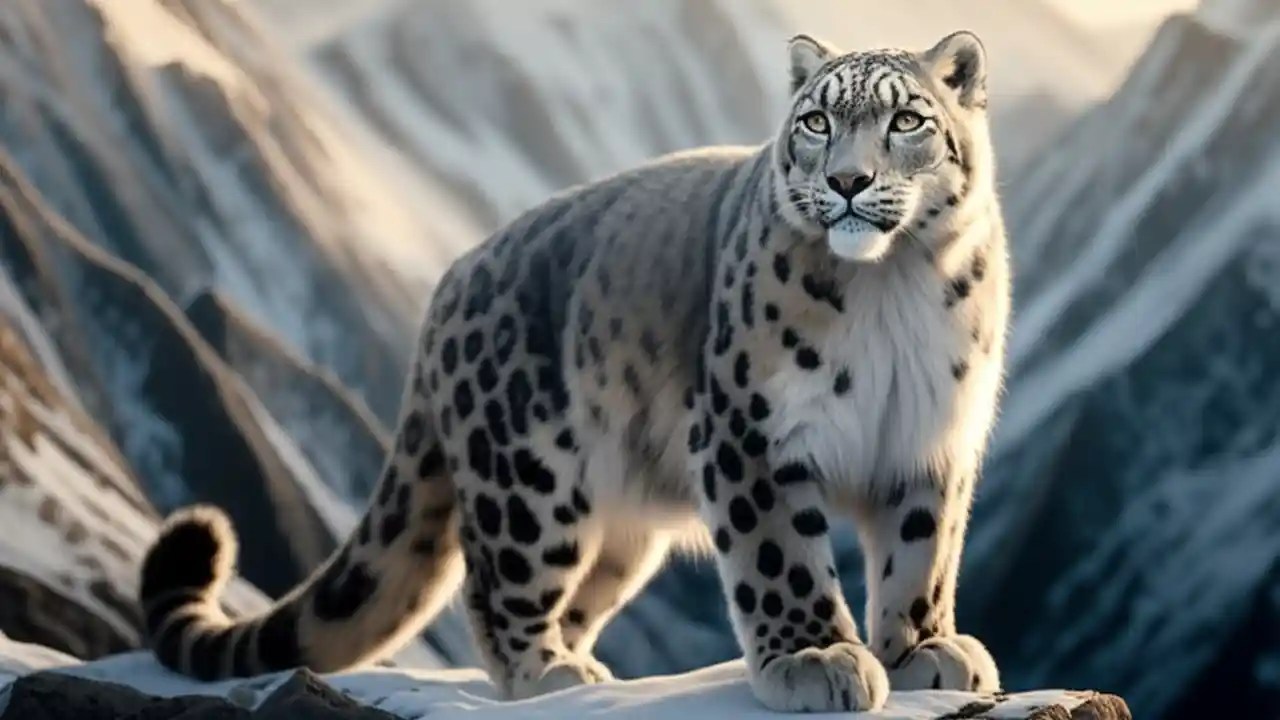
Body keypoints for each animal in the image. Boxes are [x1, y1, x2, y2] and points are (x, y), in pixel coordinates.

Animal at [138, 30, 1010, 713]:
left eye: (907, 120)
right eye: (817, 121)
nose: (847, 181)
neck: (890, 290)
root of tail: (450, 282)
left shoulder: (932, 438)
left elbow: (922, 553)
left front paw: (922, 651)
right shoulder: (751, 430)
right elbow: (779, 555)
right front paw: (813, 657)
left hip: (621, 524)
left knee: (582, 587)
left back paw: (585, 665)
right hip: (528, 476)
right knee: (496, 583)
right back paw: (547, 673)